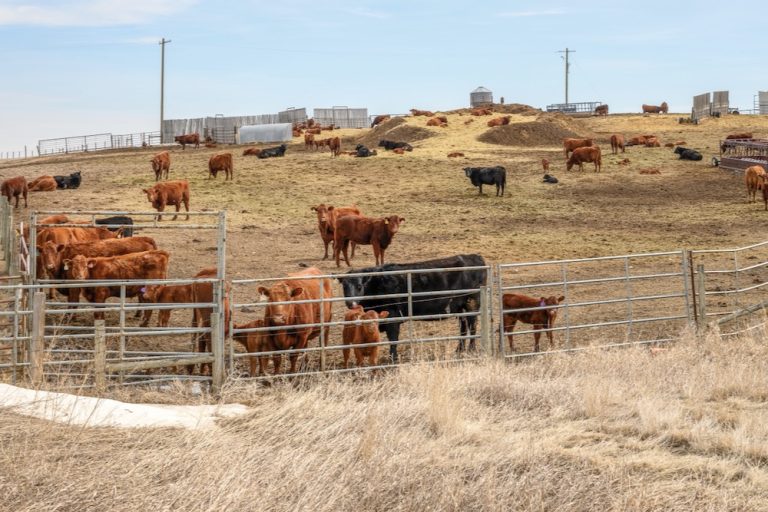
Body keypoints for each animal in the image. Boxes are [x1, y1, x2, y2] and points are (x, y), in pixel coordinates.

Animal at [337, 254, 487, 361]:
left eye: (359, 286)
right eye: (344, 286)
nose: (351, 303)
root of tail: (476, 257)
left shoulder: (393, 317)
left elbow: (393, 340)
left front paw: (393, 358)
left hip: (471, 304)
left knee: (473, 326)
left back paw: (471, 350)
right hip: (461, 308)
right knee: (463, 327)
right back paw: (459, 350)